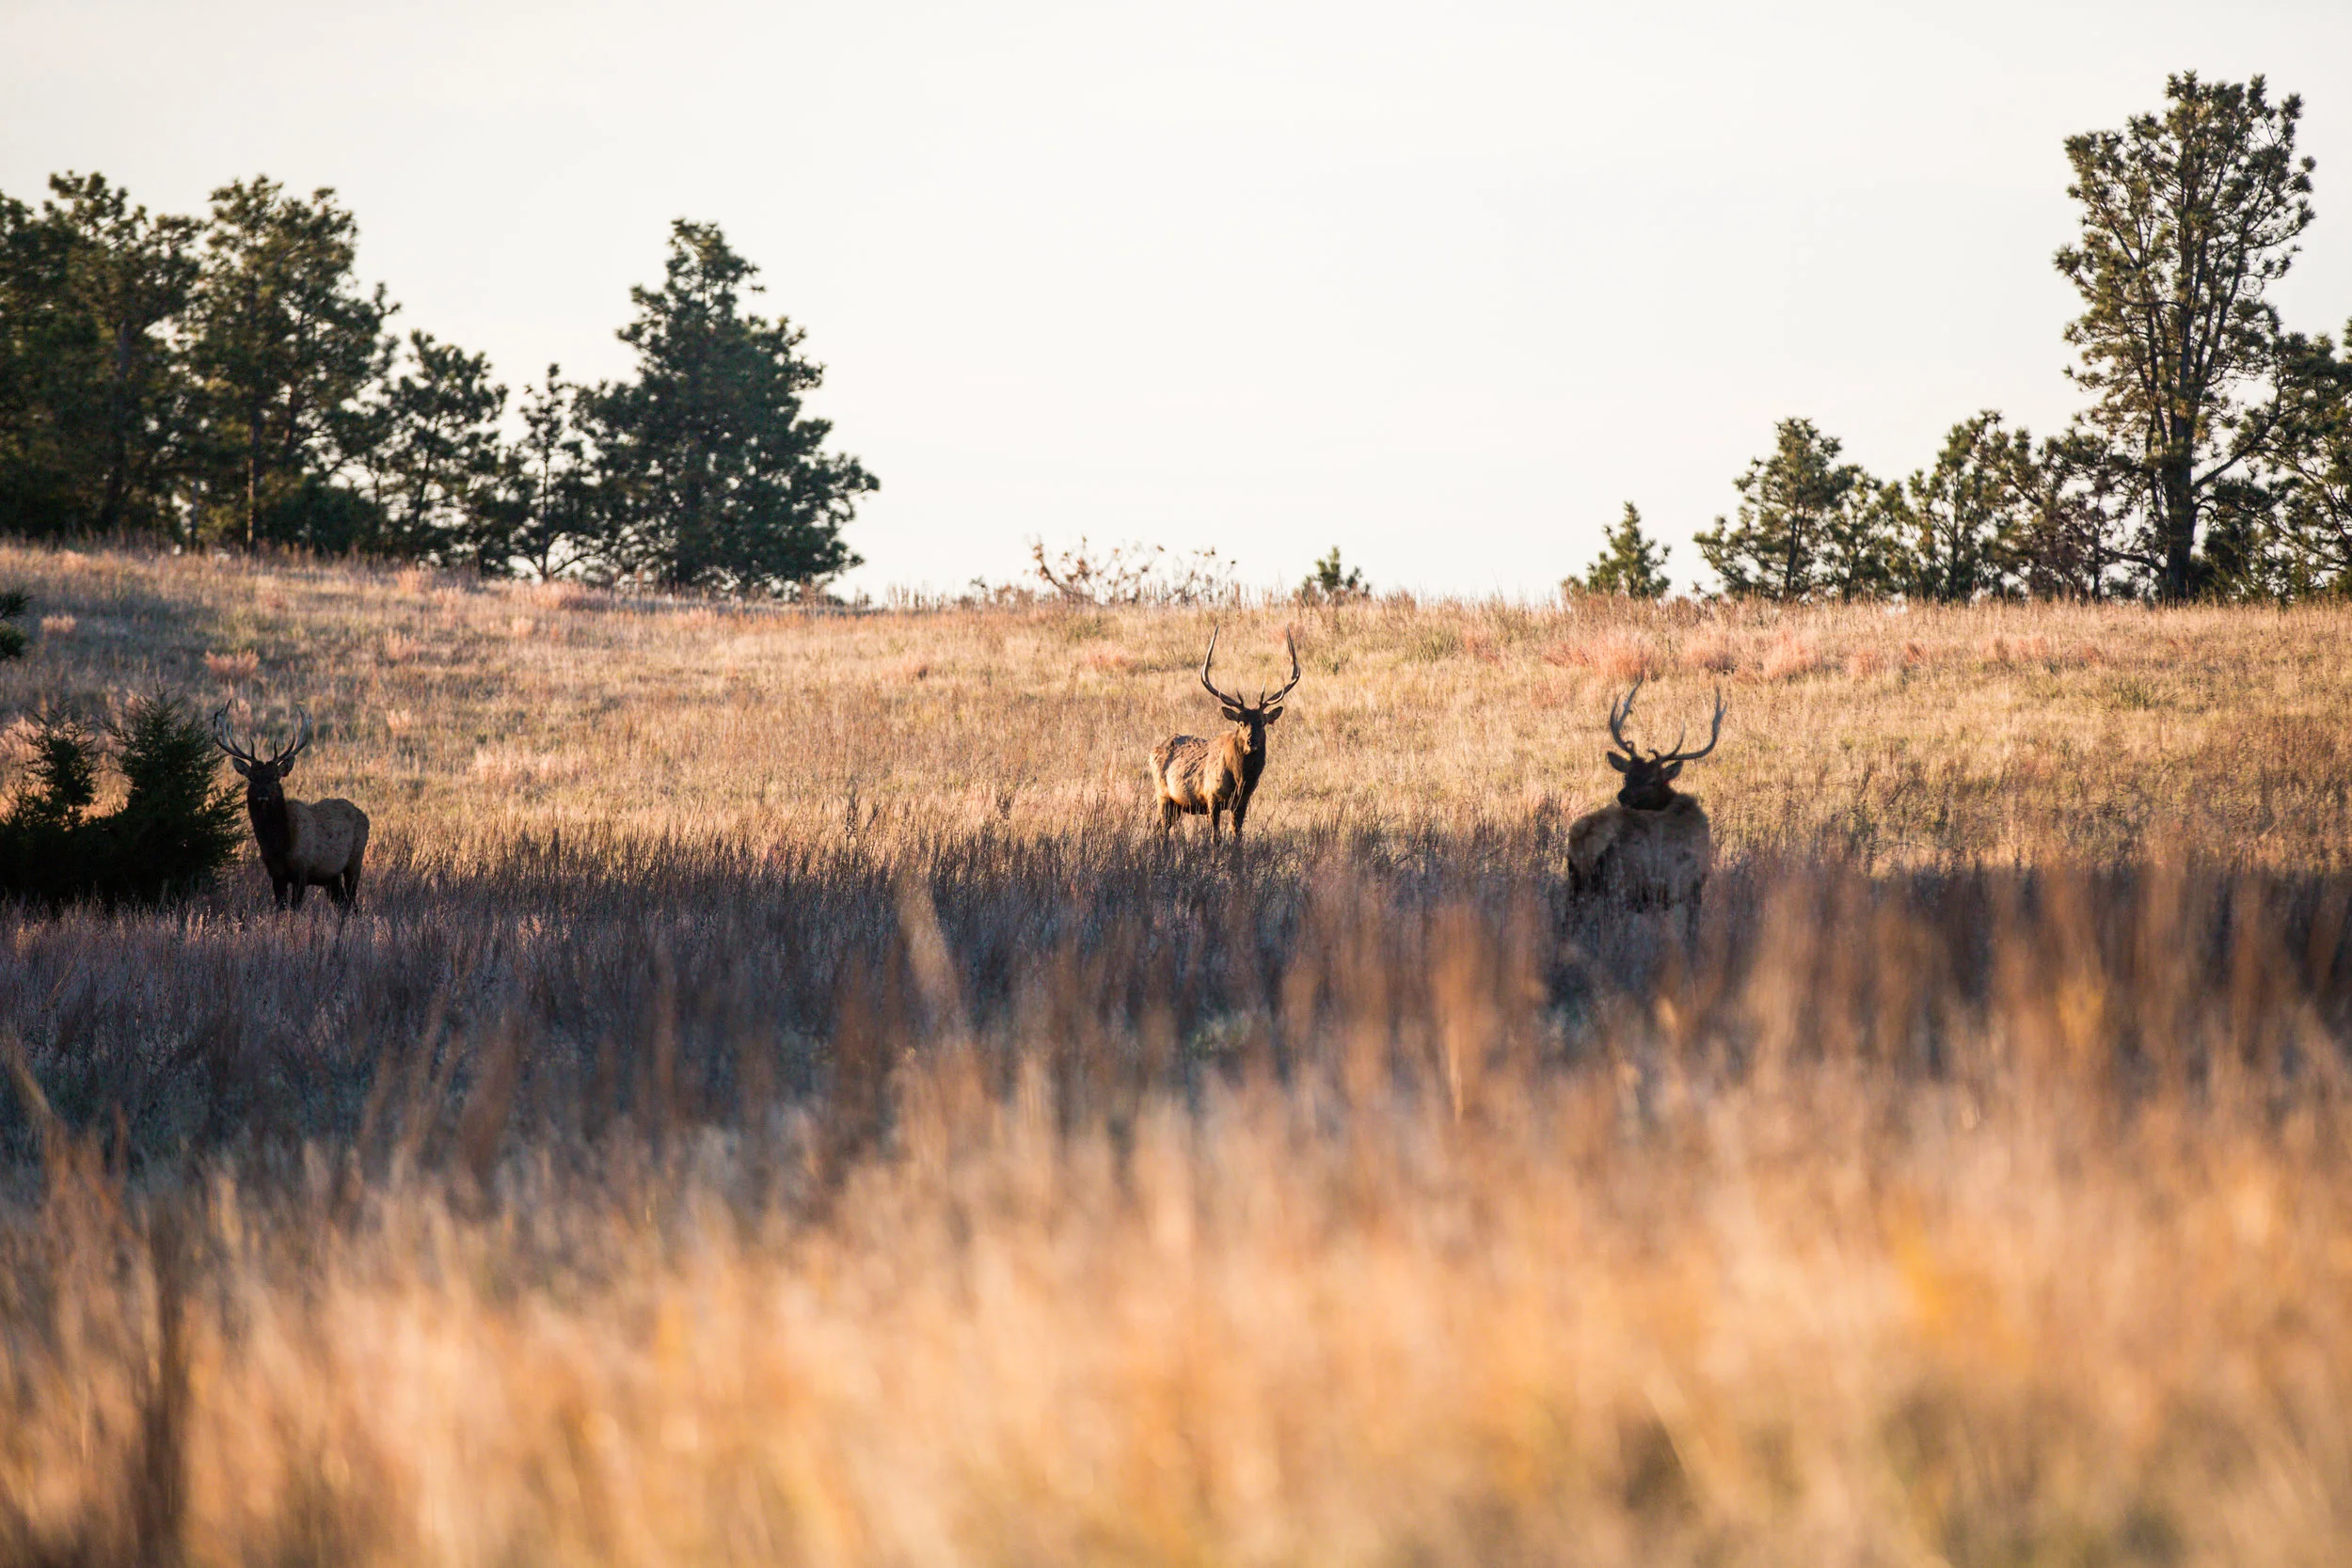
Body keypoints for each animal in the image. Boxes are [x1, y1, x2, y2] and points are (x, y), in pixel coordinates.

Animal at [211, 707, 370, 910]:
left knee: (352, 902)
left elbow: (295, 909)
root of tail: (364, 816)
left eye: (275, 777)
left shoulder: (303, 869)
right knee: (344, 904)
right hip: (331, 877)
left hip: (355, 859)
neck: (279, 846)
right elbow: (280, 907)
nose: (263, 794)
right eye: (252, 778)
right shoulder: (275, 874)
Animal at [1151, 624, 1301, 842]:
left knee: (1160, 829)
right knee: (1161, 830)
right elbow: (1216, 837)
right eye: (1241, 722)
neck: (1240, 780)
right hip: (1162, 794)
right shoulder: (1211, 797)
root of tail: (1153, 751)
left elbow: (1237, 835)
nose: (1252, 740)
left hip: (1177, 804)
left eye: (1263, 722)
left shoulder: (1242, 802)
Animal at [1566, 679, 1727, 916]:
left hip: (1576, 885)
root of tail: (1585, 834)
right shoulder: (1690, 886)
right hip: (1620, 884)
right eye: (1627, 776)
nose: (1623, 796)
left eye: (1652, 780)